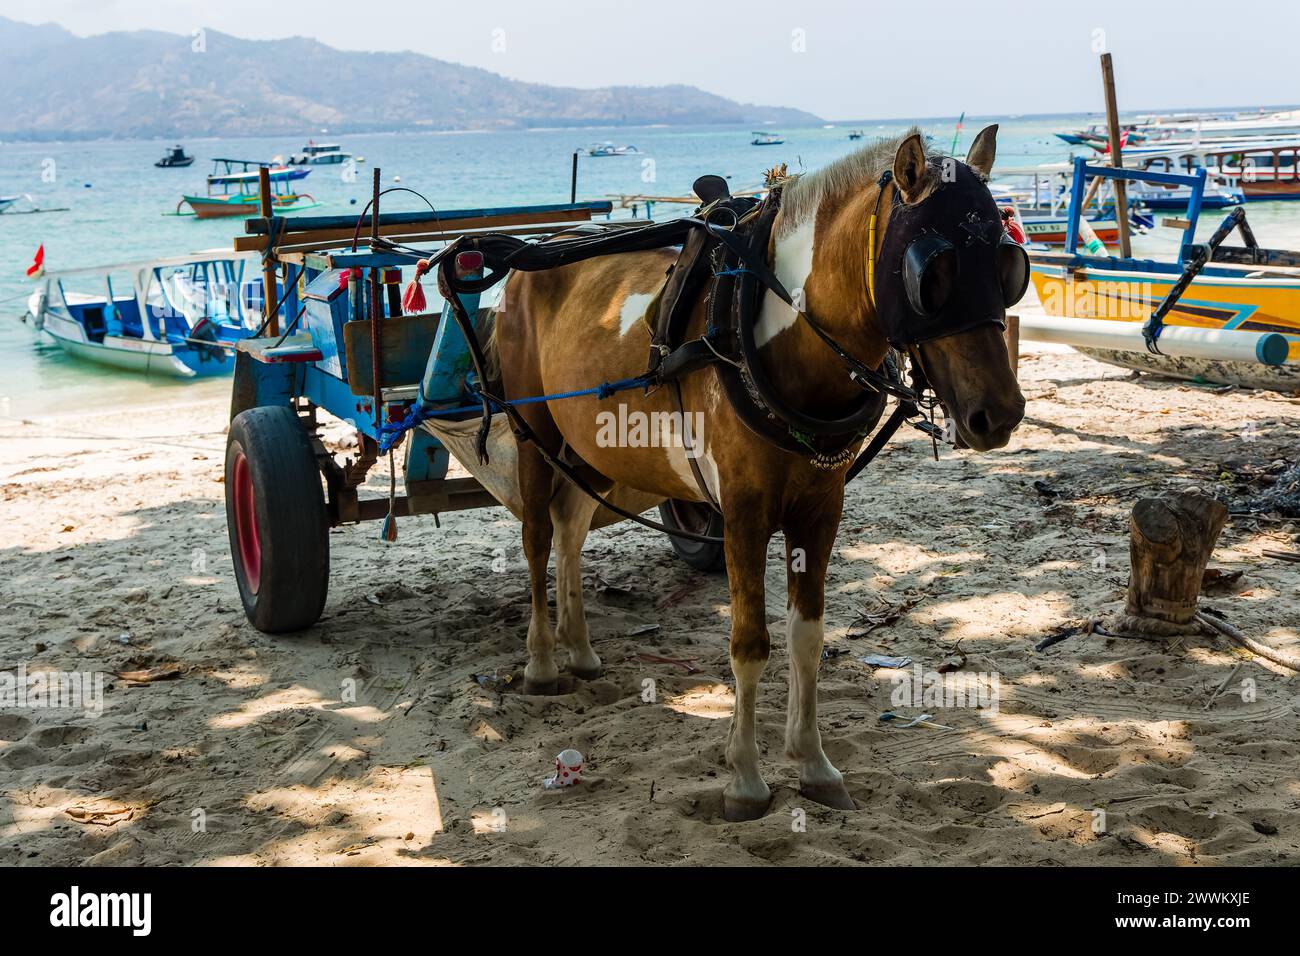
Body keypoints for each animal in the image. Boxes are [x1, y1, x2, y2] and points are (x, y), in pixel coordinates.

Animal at [490, 126, 1026, 821]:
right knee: (536, 539)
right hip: (534, 434)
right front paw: (745, 779)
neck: (775, 335)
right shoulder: (741, 514)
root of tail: (533, 259)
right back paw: (541, 664)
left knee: (571, 528)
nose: (1001, 414)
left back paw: (578, 648)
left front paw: (813, 764)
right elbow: (749, 643)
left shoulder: (819, 510)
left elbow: (807, 637)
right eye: (932, 274)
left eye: (1010, 268)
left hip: (592, 448)